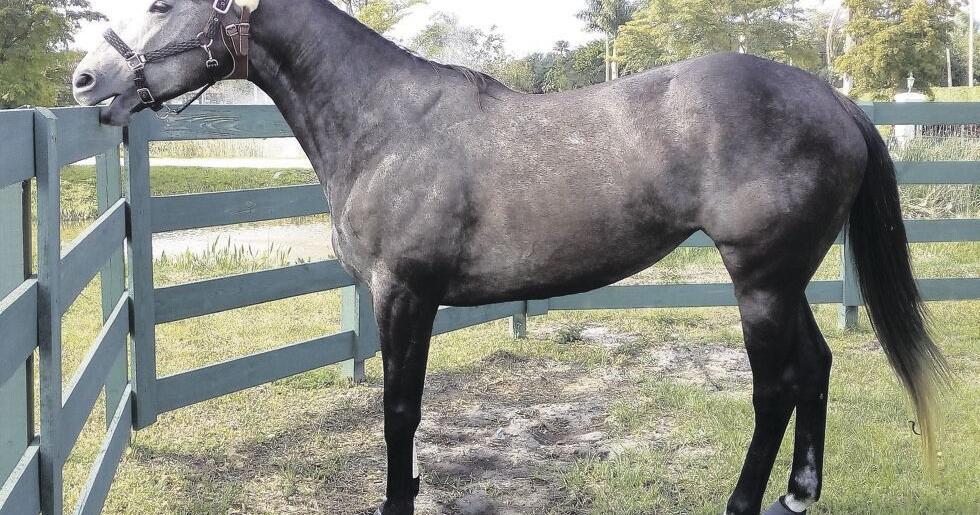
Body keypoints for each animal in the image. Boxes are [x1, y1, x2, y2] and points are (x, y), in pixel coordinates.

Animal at [72, 1, 949, 513]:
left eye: (163, 3)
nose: (86, 80)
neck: (385, 122)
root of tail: (833, 99)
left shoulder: (404, 295)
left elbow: (399, 409)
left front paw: (397, 500)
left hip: (760, 281)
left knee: (774, 390)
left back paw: (742, 500)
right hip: (785, 280)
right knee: (817, 367)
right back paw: (799, 494)